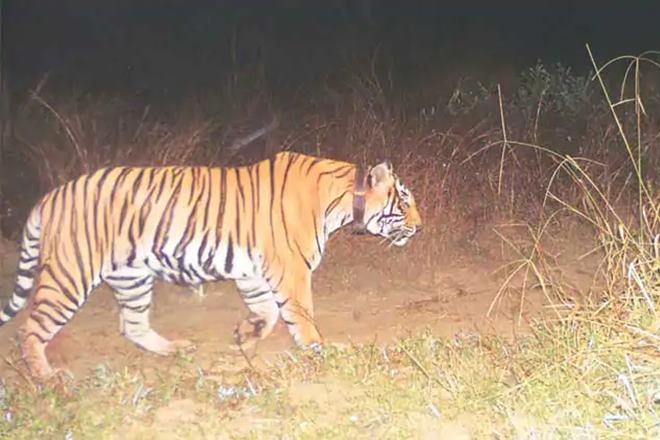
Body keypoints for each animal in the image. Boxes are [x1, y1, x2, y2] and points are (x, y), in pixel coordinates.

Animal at [0, 151, 421, 380]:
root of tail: (50, 196)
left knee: (132, 325)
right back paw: (48, 378)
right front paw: (320, 349)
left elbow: (267, 311)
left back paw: (175, 350)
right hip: (70, 274)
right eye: (404, 202)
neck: (343, 199)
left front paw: (246, 334)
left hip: (131, 277)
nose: (420, 227)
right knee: (30, 329)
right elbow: (300, 314)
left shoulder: (253, 271)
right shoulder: (292, 270)